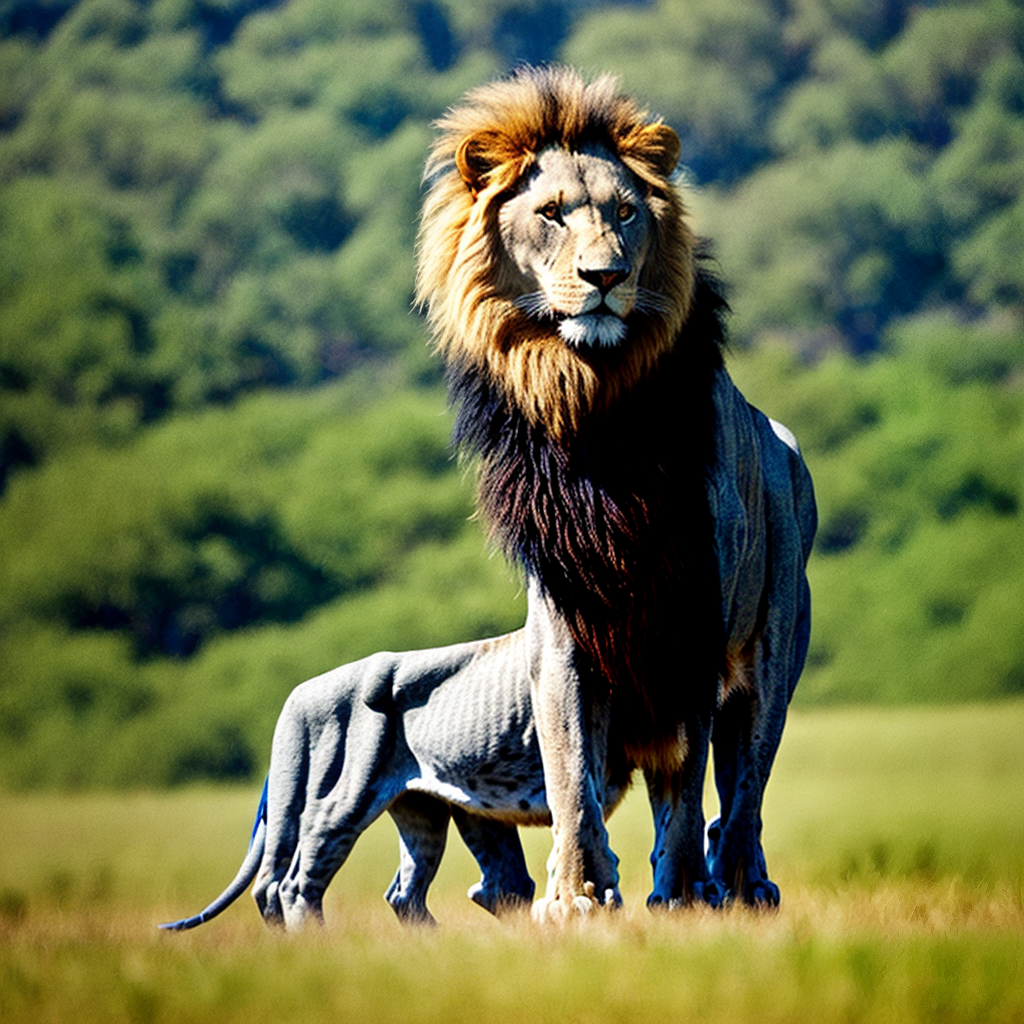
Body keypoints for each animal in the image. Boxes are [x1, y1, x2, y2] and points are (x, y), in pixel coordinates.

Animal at [160, 632, 632, 930]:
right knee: (294, 886)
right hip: (345, 800)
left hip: (429, 813)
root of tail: (297, 696)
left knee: (420, 891)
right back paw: (320, 951)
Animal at [416, 66, 816, 916]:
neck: (590, 402)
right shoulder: (567, 622)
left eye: (625, 213)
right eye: (551, 213)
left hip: (770, 654)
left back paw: (738, 883)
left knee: (745, 787)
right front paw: (576, 894)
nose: (606, 278)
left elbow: (689, 782)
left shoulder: (691, 619)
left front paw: (682, 889)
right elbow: (572, 772)